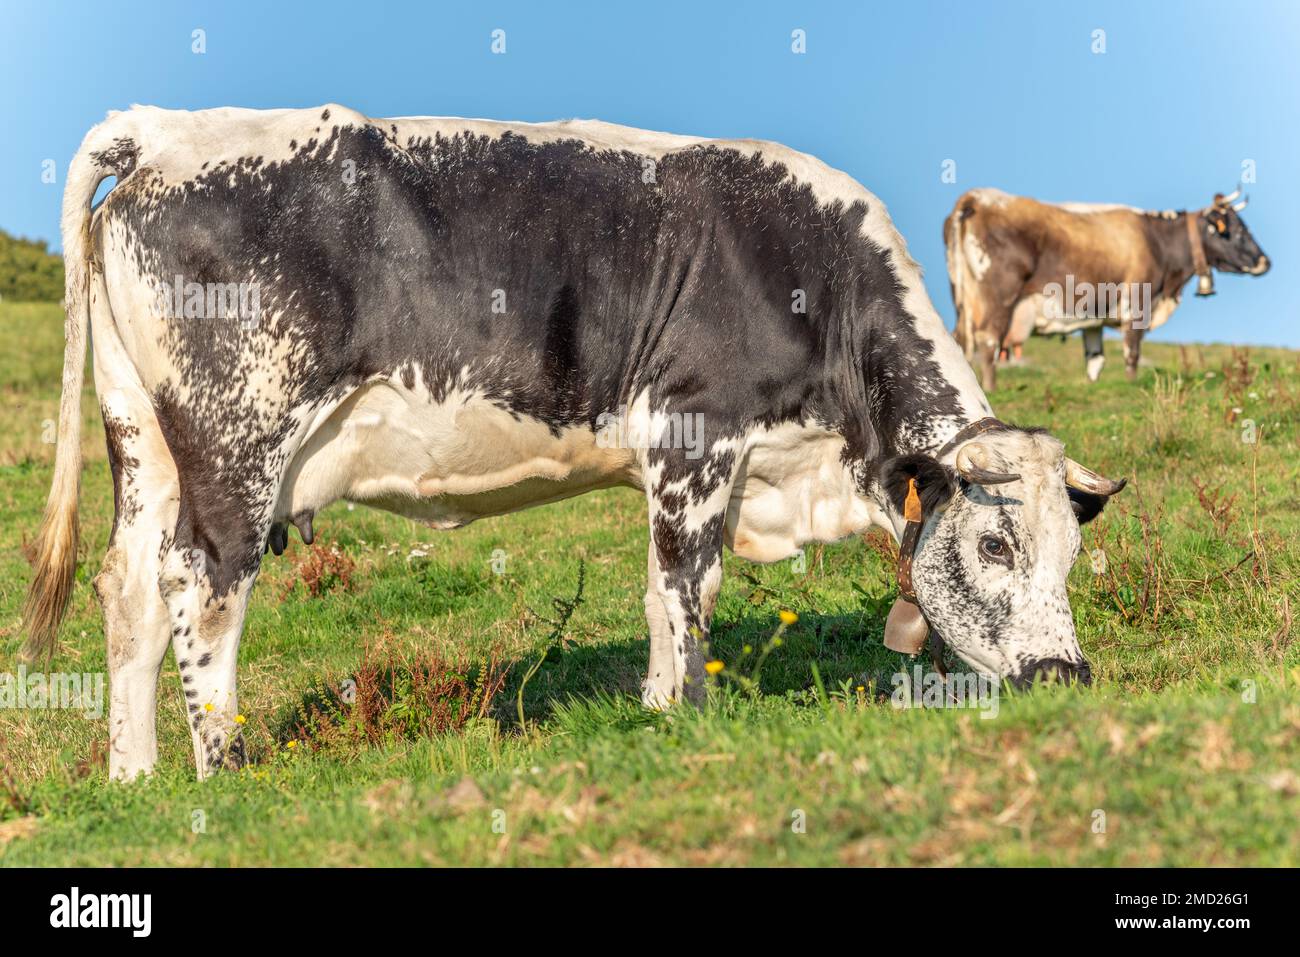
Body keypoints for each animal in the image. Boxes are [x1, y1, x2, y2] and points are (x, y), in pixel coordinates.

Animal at [24, 105, 1125, 781]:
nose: (1065, 677)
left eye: (1071, 552)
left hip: (144, 438)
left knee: (128, 585)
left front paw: (666, 702)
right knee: (202, 581)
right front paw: (680, 710)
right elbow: (681, 586)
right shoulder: (692, 431)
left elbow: (679, 589)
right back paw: (226, 765)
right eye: (994, 543)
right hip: (237, 435)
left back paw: (136, 775)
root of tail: (163, 130)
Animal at [944, 187, 1270, 390]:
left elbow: (1095, 360)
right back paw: (990, 388)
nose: (1265, 261)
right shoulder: (1137, 303)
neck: (1157, 241)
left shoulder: (1094, 316)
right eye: (1236, 229)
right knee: (989, 342)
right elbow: (1132, 351)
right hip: (998, 299)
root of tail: (977, 196)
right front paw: (1132, 382)